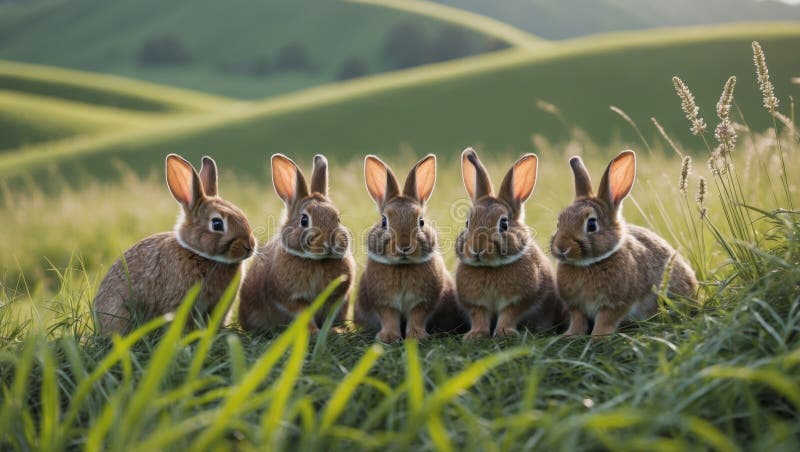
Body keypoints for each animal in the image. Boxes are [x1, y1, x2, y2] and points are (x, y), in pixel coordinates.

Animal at [239, 154, 355, 334]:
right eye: (304, 220)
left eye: (337, 218)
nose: (330, 241)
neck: (316, 261)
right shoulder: (291, 298)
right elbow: (304, 314)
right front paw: (314, 332)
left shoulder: (336, 297)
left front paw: (334, 331)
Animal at [355, 154, 467, 343]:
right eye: (384, 221)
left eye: (421, 221)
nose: (404, 246)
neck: (403, 266)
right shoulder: (384, 303)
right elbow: (389, 317)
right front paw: (388, 337)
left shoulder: (423, 302)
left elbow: (417, 317)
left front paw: (416, 336)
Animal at [455, 148, 565, 339]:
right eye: (467, 223)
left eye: (504, 224)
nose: (477, 249)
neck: (490, 268)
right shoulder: (476, 304)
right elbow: (479, 316)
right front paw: (476, 335)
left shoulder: (519, 300)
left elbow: (509, 314)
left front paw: (505, 333)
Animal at [551, 150, 698, 338]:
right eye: (558, 223)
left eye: (591, 225)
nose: (561, 248)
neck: (587, 265)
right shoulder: (576, 306)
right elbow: (578, 320)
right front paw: (571, 335)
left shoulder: (616, 304)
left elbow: (606, 320)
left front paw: (598, 337)